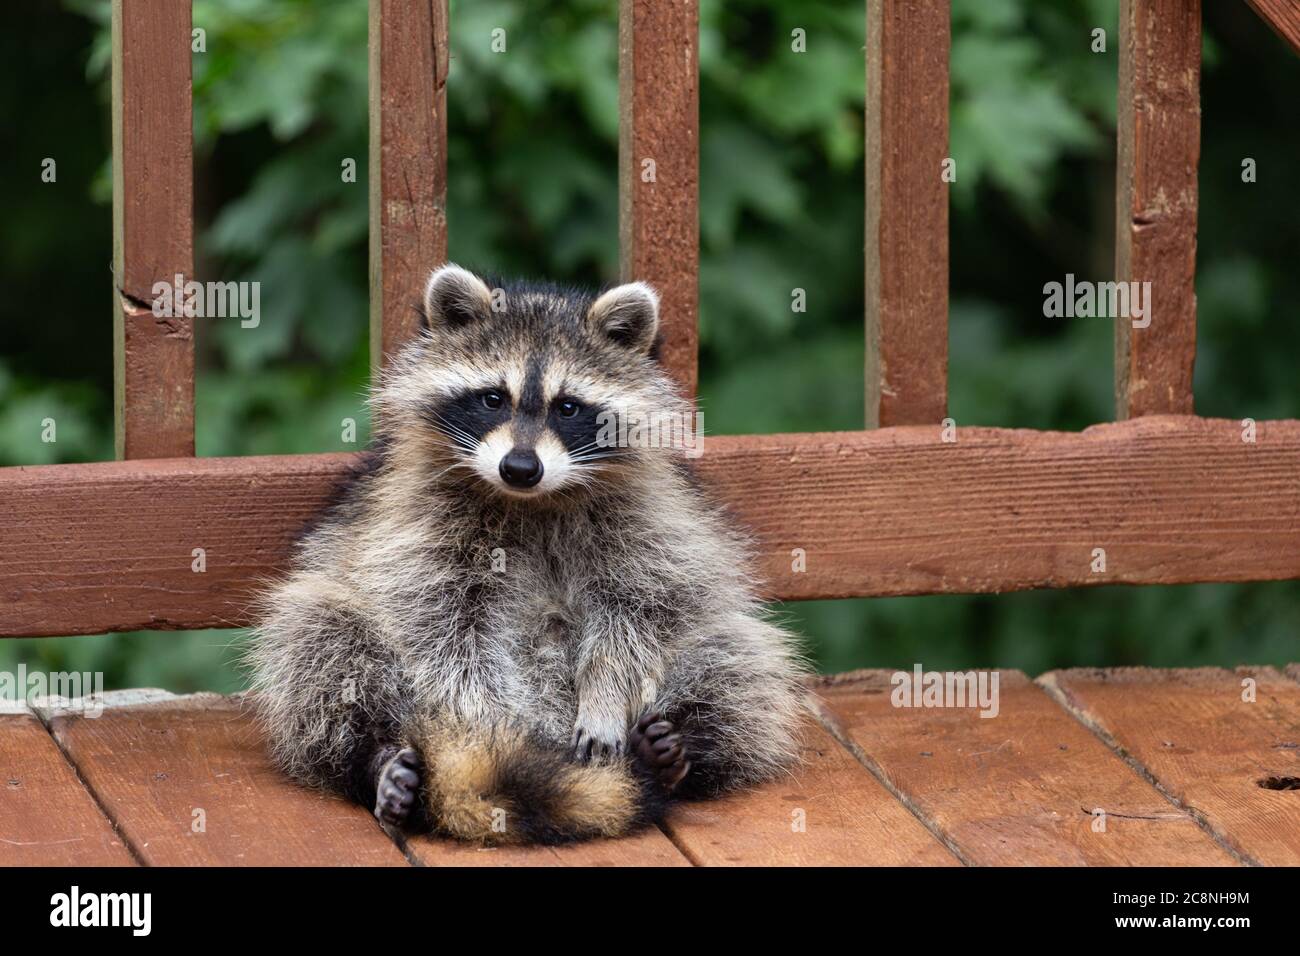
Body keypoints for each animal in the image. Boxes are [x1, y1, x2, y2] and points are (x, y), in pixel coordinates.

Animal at [247, 264, 809, 845]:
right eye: (494, 398)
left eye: (568, 407)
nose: (520, 467)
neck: (533, 500)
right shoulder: (416, 523)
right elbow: (445, 631)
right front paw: (485, 728)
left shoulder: (651, 517)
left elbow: (647, 606)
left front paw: (605, 692)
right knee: (320, 639)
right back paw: (380, 762)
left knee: (735, 660)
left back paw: (676, 753)